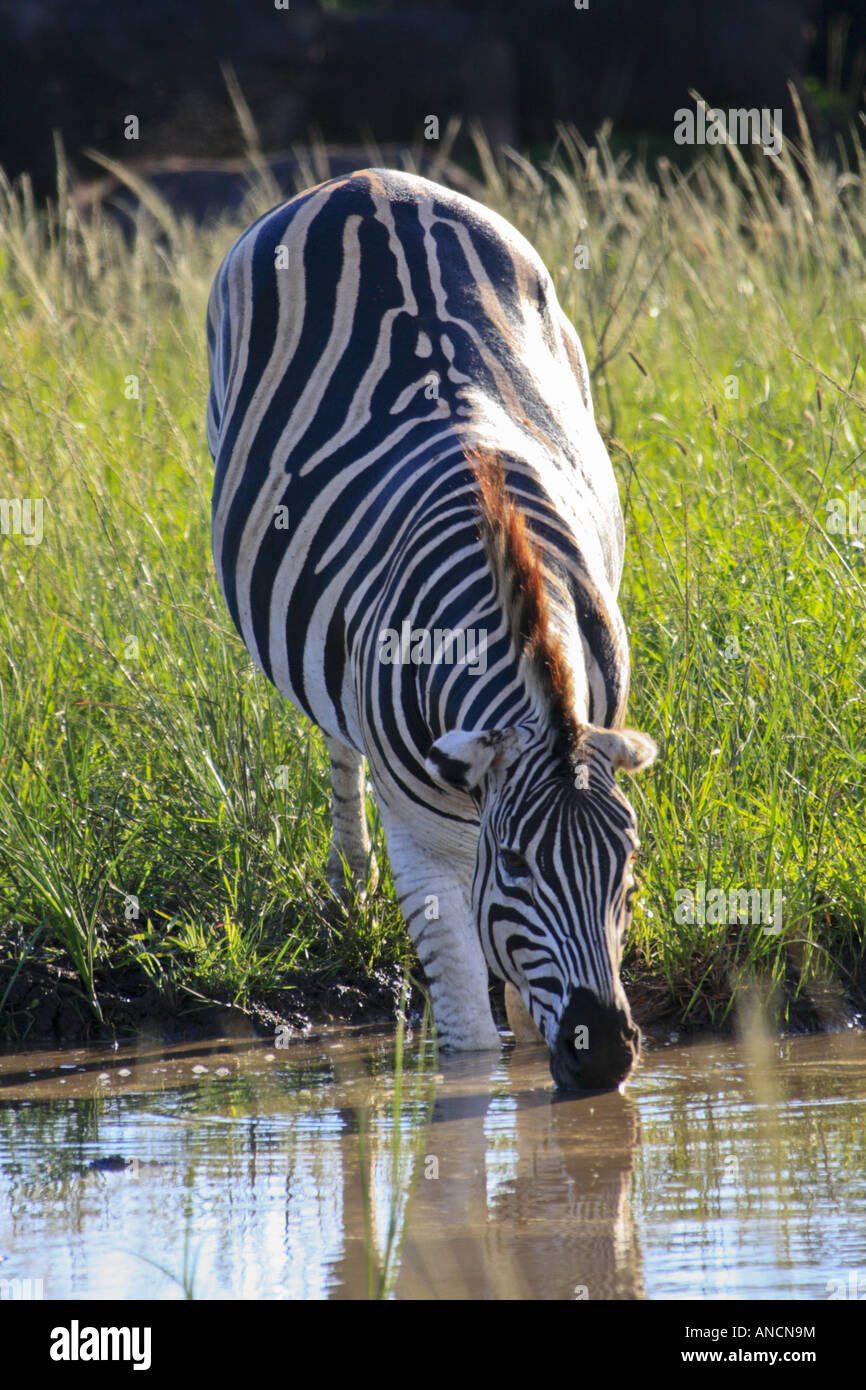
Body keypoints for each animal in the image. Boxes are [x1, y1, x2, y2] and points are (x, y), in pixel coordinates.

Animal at [206, 168, 657, 1090]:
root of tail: (365, 180)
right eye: (517, 864)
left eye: (627, 861)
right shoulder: (424, 839)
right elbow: (471, 1045)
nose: (602, 1057)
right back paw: (348, 883)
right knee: (337, 743)